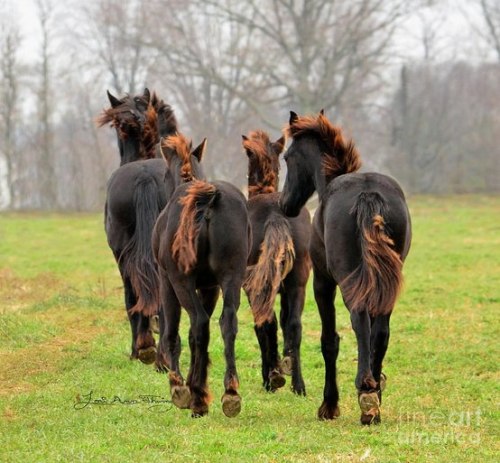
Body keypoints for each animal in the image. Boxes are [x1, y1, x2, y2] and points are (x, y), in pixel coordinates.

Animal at [152, 132, 250, 418]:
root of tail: (208, 200)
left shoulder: (167, 281)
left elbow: (173, 332)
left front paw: (180, 385)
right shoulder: (211, 287)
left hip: (180, 282)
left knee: (198, 322)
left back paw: (191, 393)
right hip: (232, 277)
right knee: (226, 322)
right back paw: (230, 392)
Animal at [240, 130, 310, 396]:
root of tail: (276, 215)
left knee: (265, 323)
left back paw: (272, 379)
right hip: (298, 282)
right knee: (294, 325)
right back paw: (298, 384)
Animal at [280, 111, 412, 424]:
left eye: (287, 157)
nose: (285, 204)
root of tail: (368, 194)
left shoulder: (322, 282)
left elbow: (330, 340)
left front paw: (329, 405)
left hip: (350, 282)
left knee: (359, 322)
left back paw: (365, 392)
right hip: (385, 283)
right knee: (380, 333)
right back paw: (374, 396)